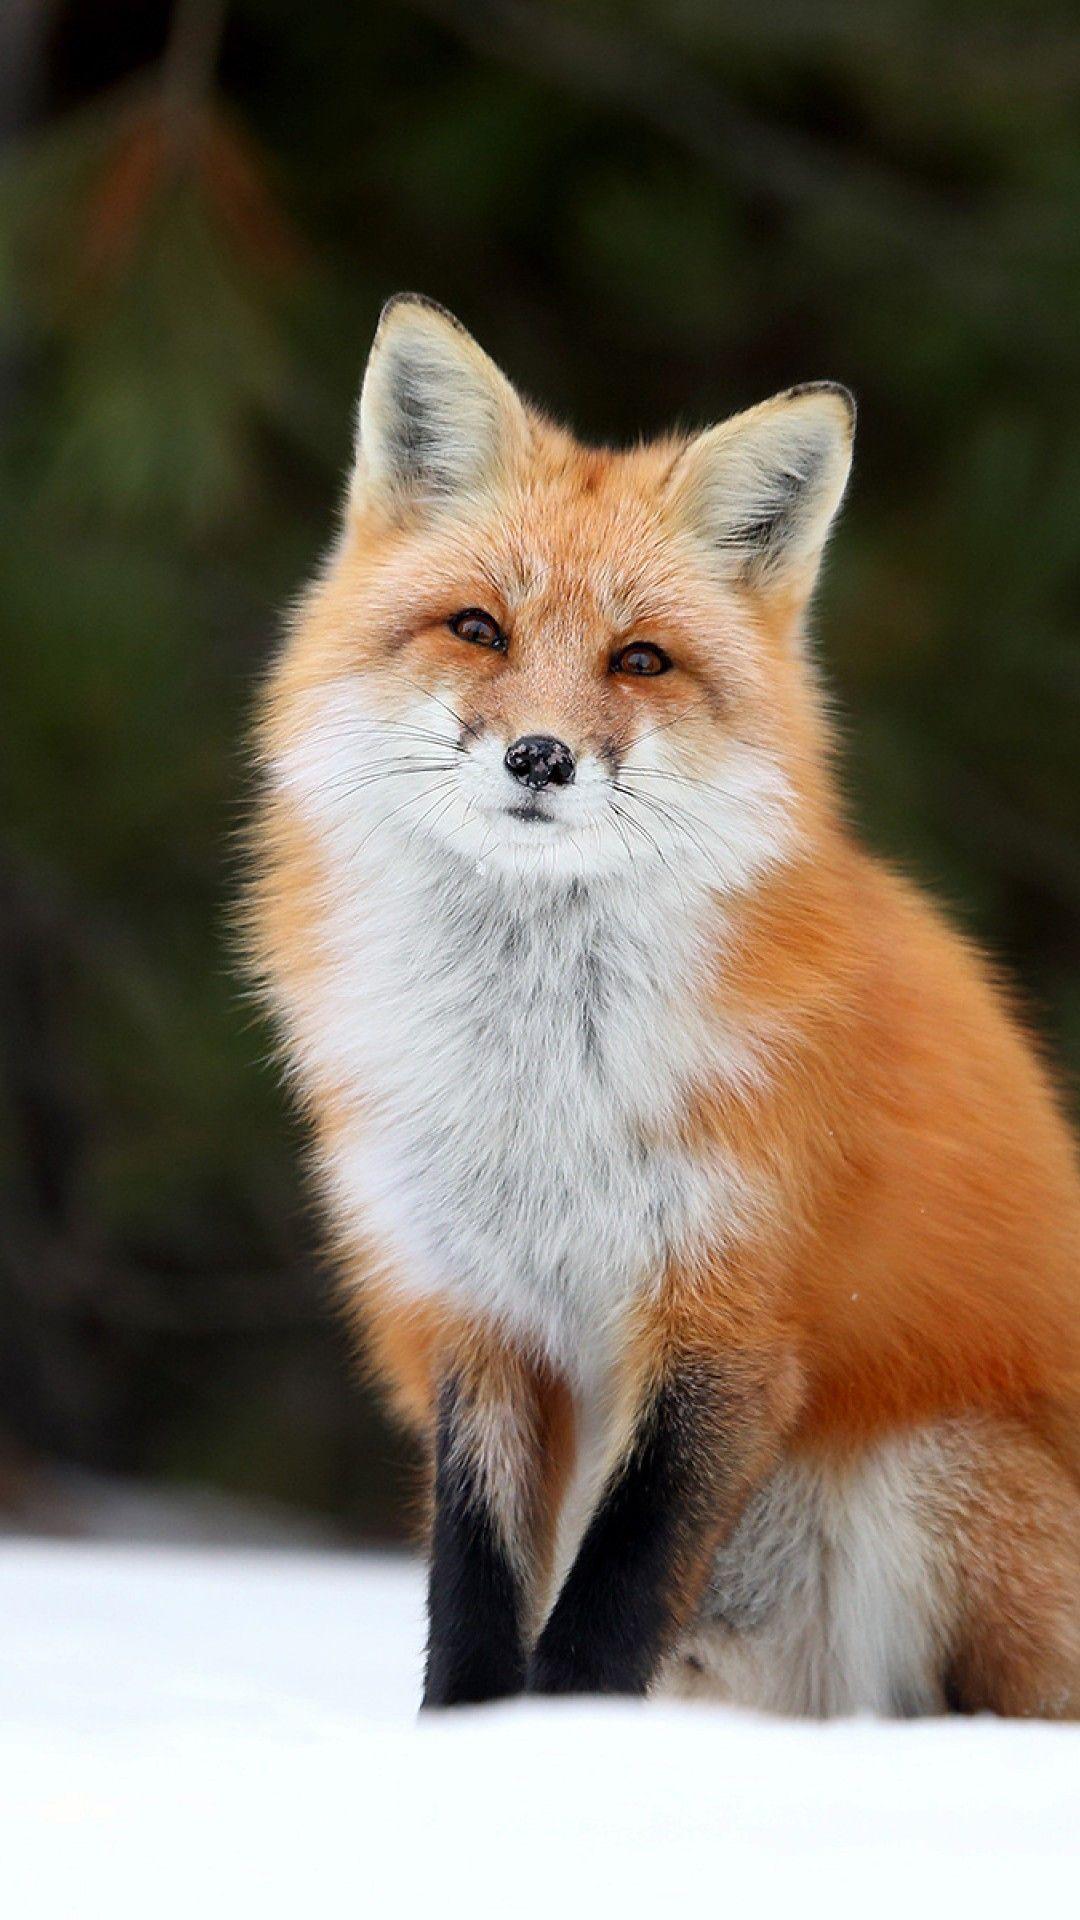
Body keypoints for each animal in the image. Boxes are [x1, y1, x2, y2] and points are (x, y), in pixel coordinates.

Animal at [249, 293, 1080, 1717]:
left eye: (640, 659)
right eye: (479, 628)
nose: (540, 757)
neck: (535, 1092)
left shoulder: (728, 1318)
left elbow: (613, 1596)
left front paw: (576, 1742)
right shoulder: (476, 1312)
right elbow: (476, 1595)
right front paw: (467, 1744)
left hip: (933, 1475)